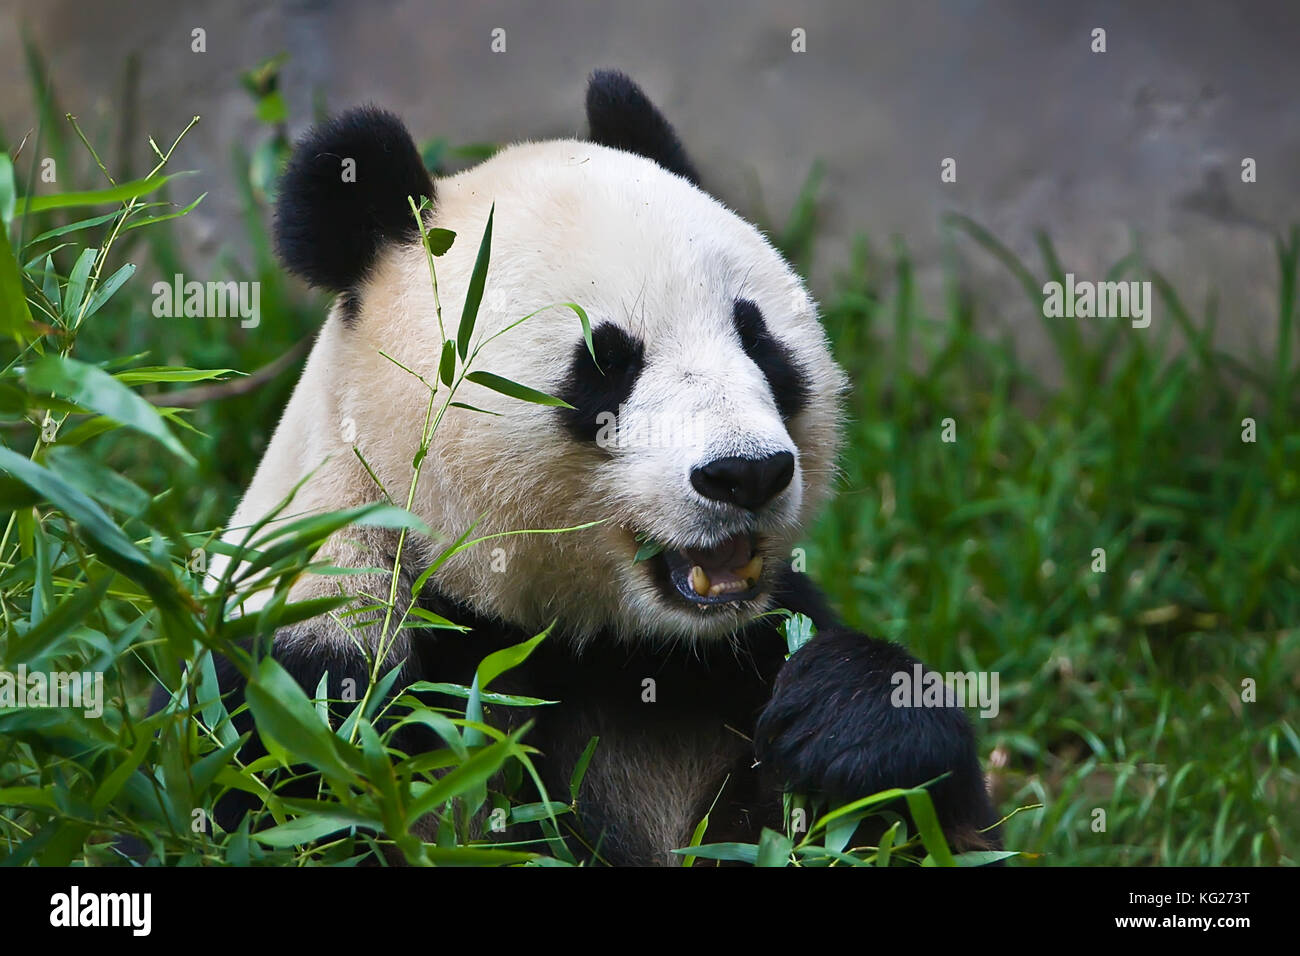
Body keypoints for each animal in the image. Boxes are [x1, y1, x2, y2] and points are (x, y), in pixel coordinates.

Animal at [199, 70, 998, 865]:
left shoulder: (736, 657)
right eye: (604, 363)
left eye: (758, 339)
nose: (747, 474)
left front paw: (848, 721)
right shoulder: (309, 666)